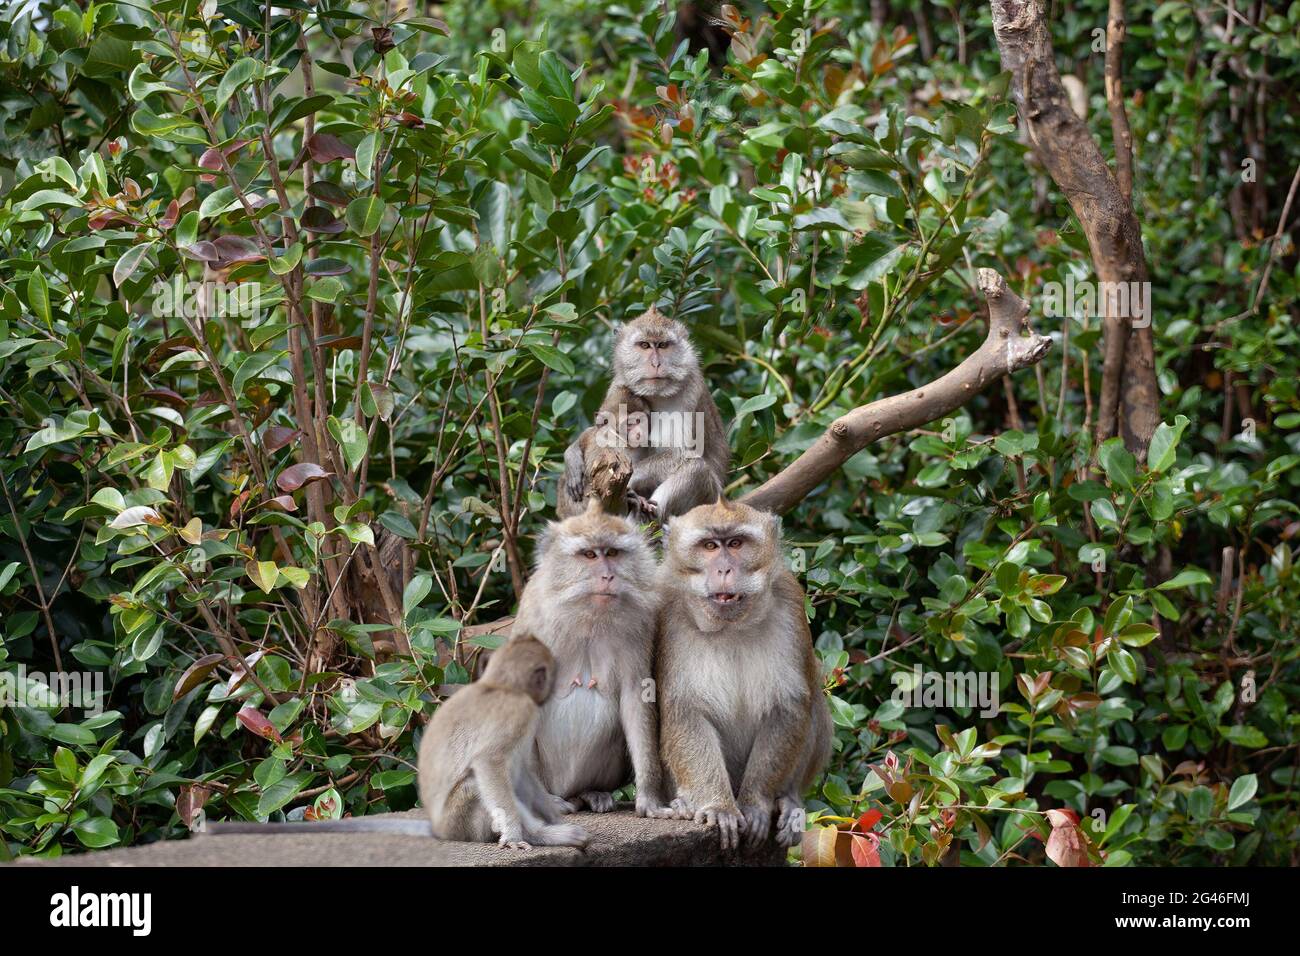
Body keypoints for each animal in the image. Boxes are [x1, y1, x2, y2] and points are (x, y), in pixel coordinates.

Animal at [203, 636, 590, 850]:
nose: (554, 685)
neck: (499, 685)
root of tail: (439, 828)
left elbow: (519, 772)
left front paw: (552, 812)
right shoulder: (518, 712)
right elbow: (489, 764)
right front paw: (517, 833)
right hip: (461, 820)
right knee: (474, 783)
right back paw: (537, 835)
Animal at [514, 499, 673, 818]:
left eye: (611, 553)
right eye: (589, 554)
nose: (608, 576)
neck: (588, 618)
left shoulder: (640, 626)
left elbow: (636, 697)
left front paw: (649, 797)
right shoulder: (534, 622)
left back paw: (591, 793)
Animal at [560, 309, 729, 522]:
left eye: (663, 345)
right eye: (645, 345)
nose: (656, 363)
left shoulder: (691, 392)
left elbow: (681, 453)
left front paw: (630, 484)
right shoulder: (620, 384)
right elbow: (600, 428)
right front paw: (572, 455)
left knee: (697, 469)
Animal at [655, 498, 832, 851]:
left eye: (736, 543)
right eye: (710, 546)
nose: (724, 570)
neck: (730, 627)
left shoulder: (790, 600)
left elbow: (788, 705)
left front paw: (754, 803)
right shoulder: (665, 605)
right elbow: (683, 710)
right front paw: (719, 807)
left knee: (814, 700)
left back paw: (788, 800)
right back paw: (684, 802)